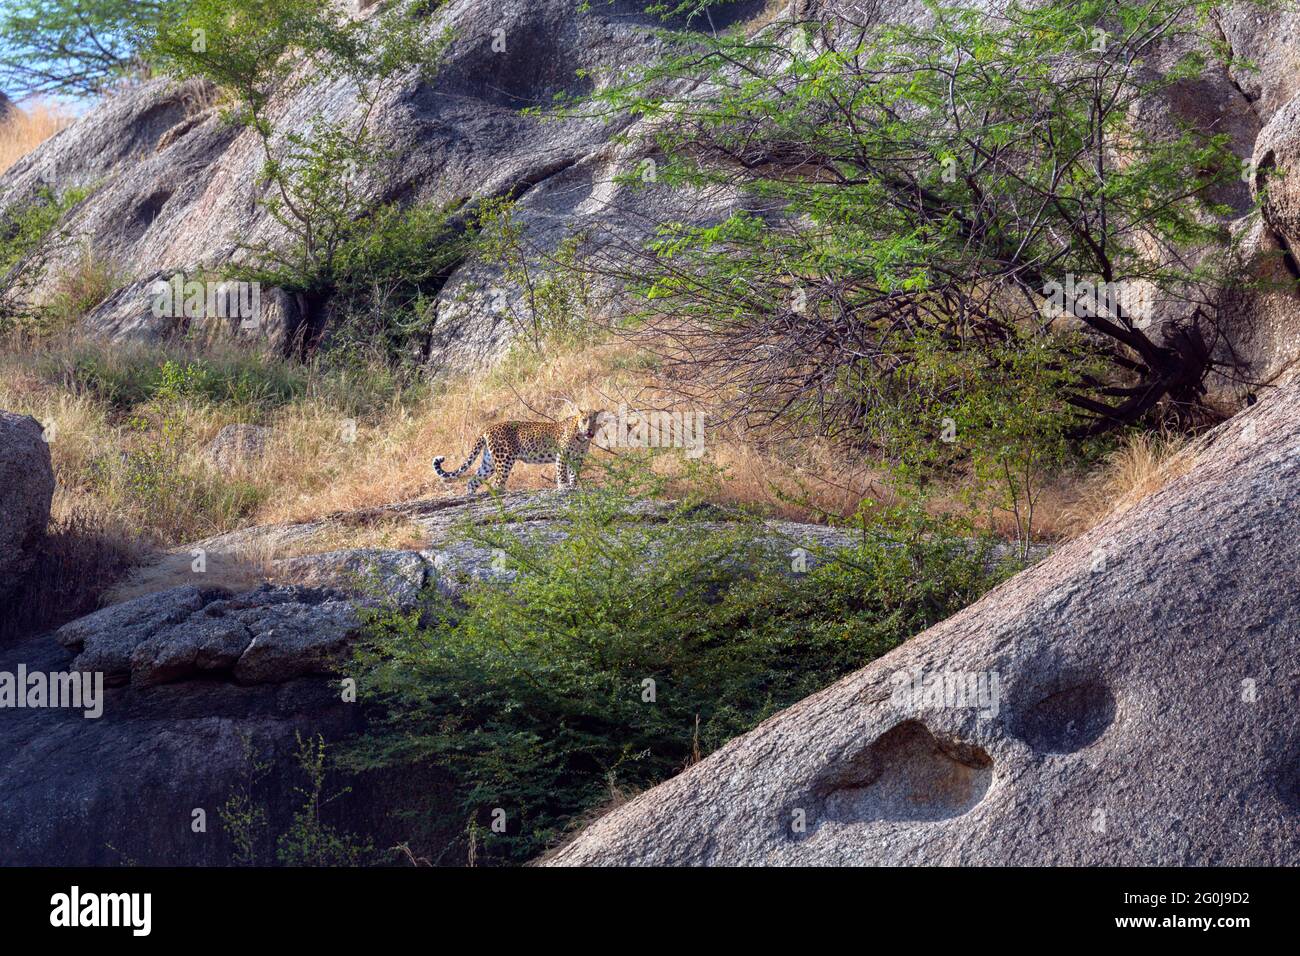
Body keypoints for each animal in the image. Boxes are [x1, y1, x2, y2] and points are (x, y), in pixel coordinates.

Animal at [433, 410, 604, 494]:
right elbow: (562, 472)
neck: (581, 438)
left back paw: (471, 496)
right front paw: (563, 486)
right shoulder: (562, 455)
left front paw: (574, 486)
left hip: (489, 462)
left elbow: (574, 473)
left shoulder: (578, 458)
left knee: (473, 480)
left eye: (593, 420)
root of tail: (487, 429)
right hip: (504, 459)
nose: (589, 430)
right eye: (584, 420)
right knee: (497, 483)